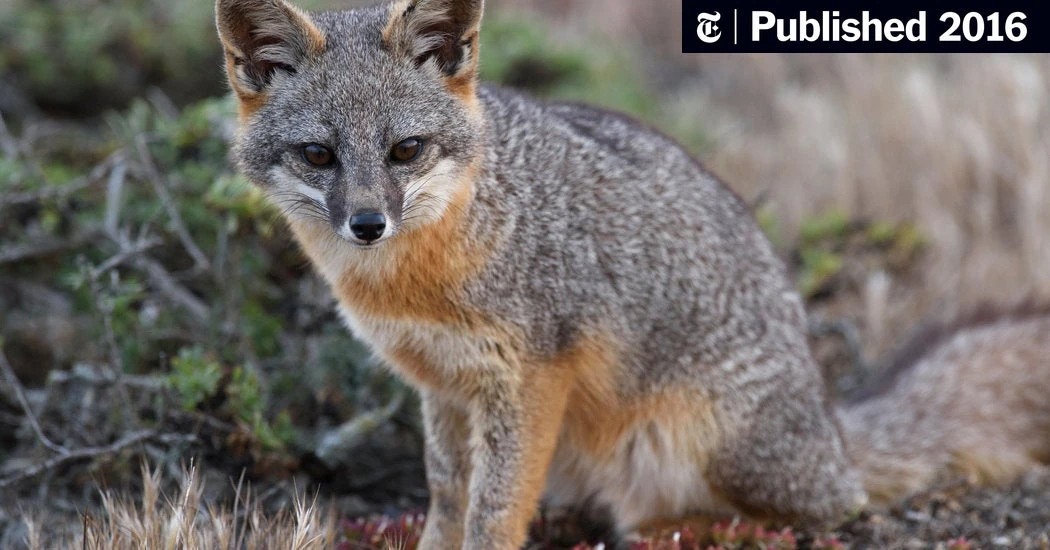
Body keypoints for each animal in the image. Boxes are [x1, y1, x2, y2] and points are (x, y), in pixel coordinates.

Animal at [214, 0, 1050, 548]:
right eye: (319, 155)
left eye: (405, 151)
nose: (366, 224)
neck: (415, 278)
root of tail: (833, 426)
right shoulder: (443, 386)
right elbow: (449, 498)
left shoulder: (529, 377)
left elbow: (494, 508)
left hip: (708, 443)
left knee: (823, 508)